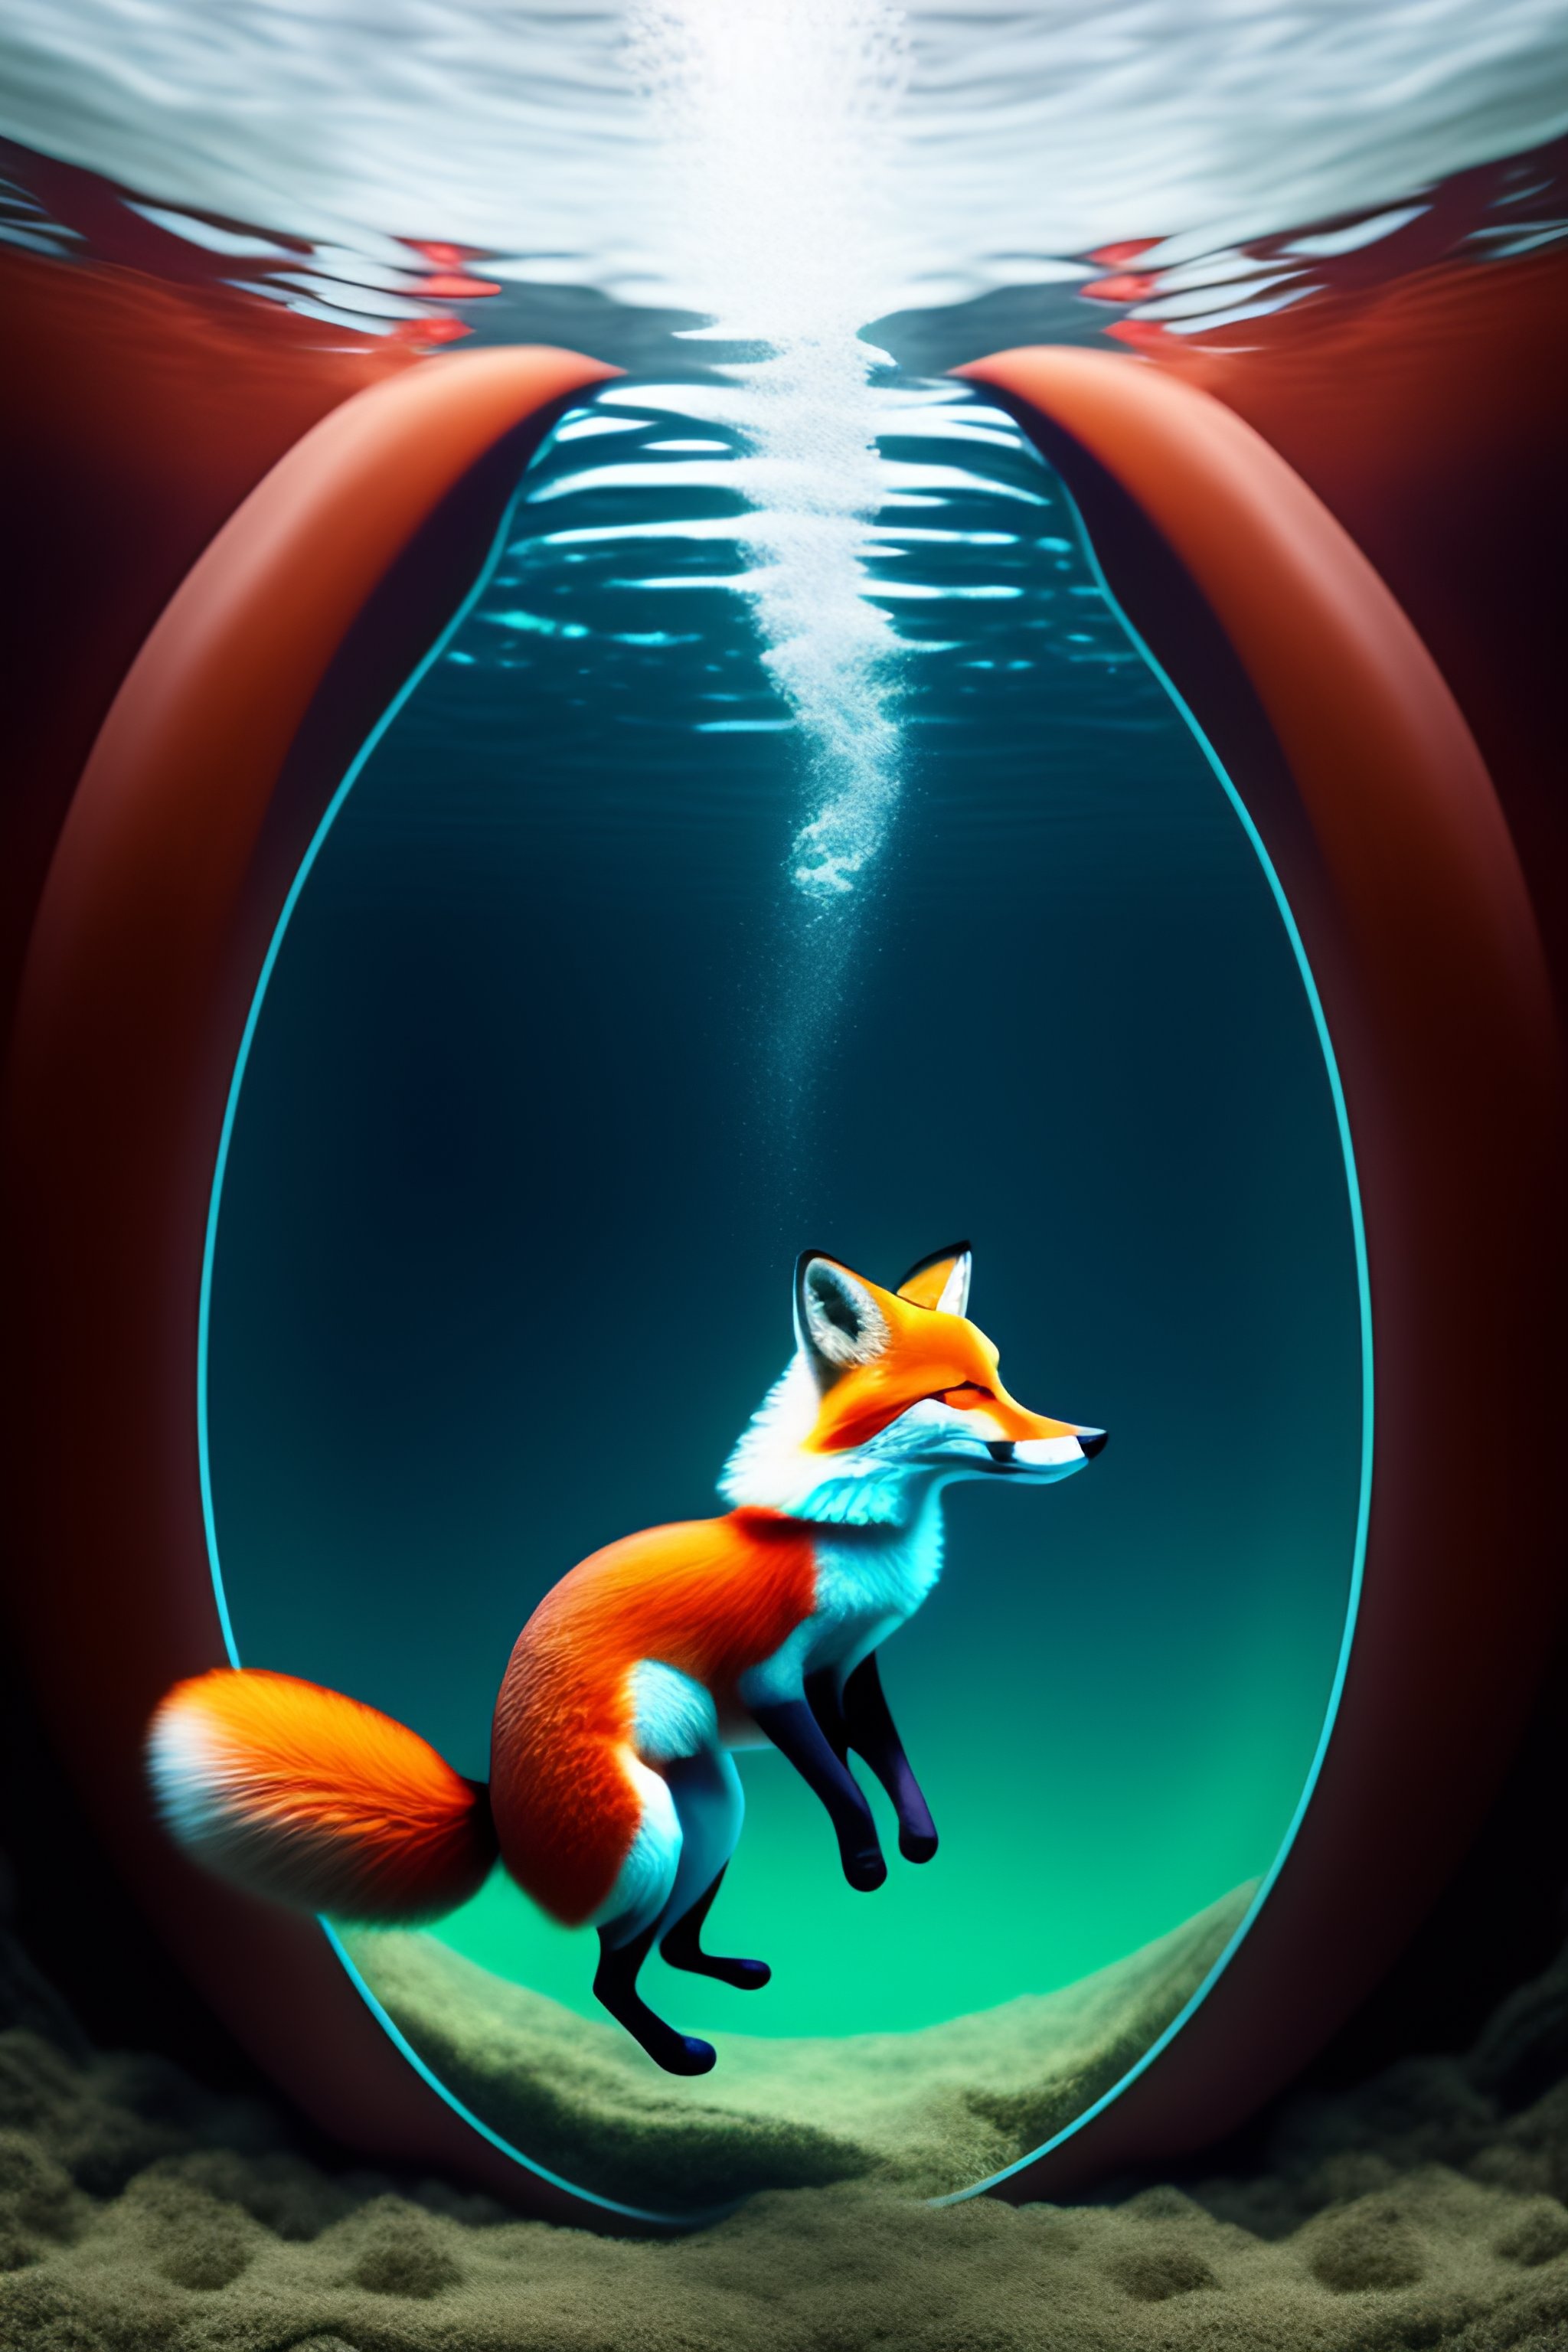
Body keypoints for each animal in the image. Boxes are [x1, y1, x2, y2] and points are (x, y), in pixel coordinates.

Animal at [147, 1243, 1105, 2075]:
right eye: (962, 1392)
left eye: (1002, 1379)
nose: (1093, 1439)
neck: (841, 1536)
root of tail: (494, 1802)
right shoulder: (772, 1680)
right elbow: (837, 1780)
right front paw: (865, 1863)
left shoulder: (850, 1667)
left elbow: (882, 1755)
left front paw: (917, 1841)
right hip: (655, 1838)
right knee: (608, 1976)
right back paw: (678, 2054)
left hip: (713, 1815)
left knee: (670, 1945)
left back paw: (729, 1975)